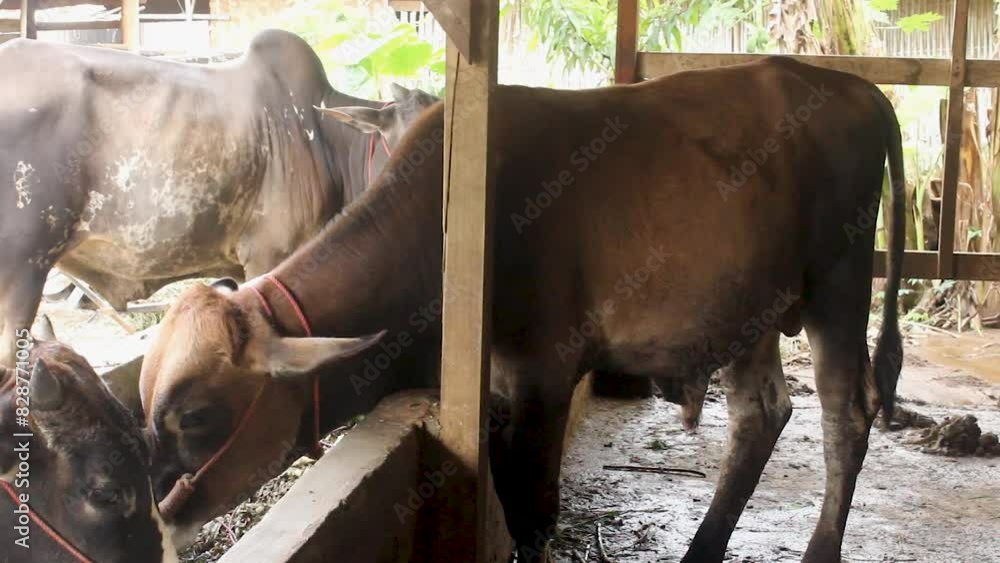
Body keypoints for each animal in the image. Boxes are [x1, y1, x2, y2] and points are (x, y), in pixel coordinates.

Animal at [139, 56, 905, 563]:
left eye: (196, 415)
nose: (153, 513)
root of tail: (859, 88)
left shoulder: (543, 373)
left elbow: (534, 511)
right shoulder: (498, 393)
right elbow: (507, 492)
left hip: (839, 284)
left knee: (846, 415)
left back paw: (819, 550)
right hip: (752, 310)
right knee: (761, 413)